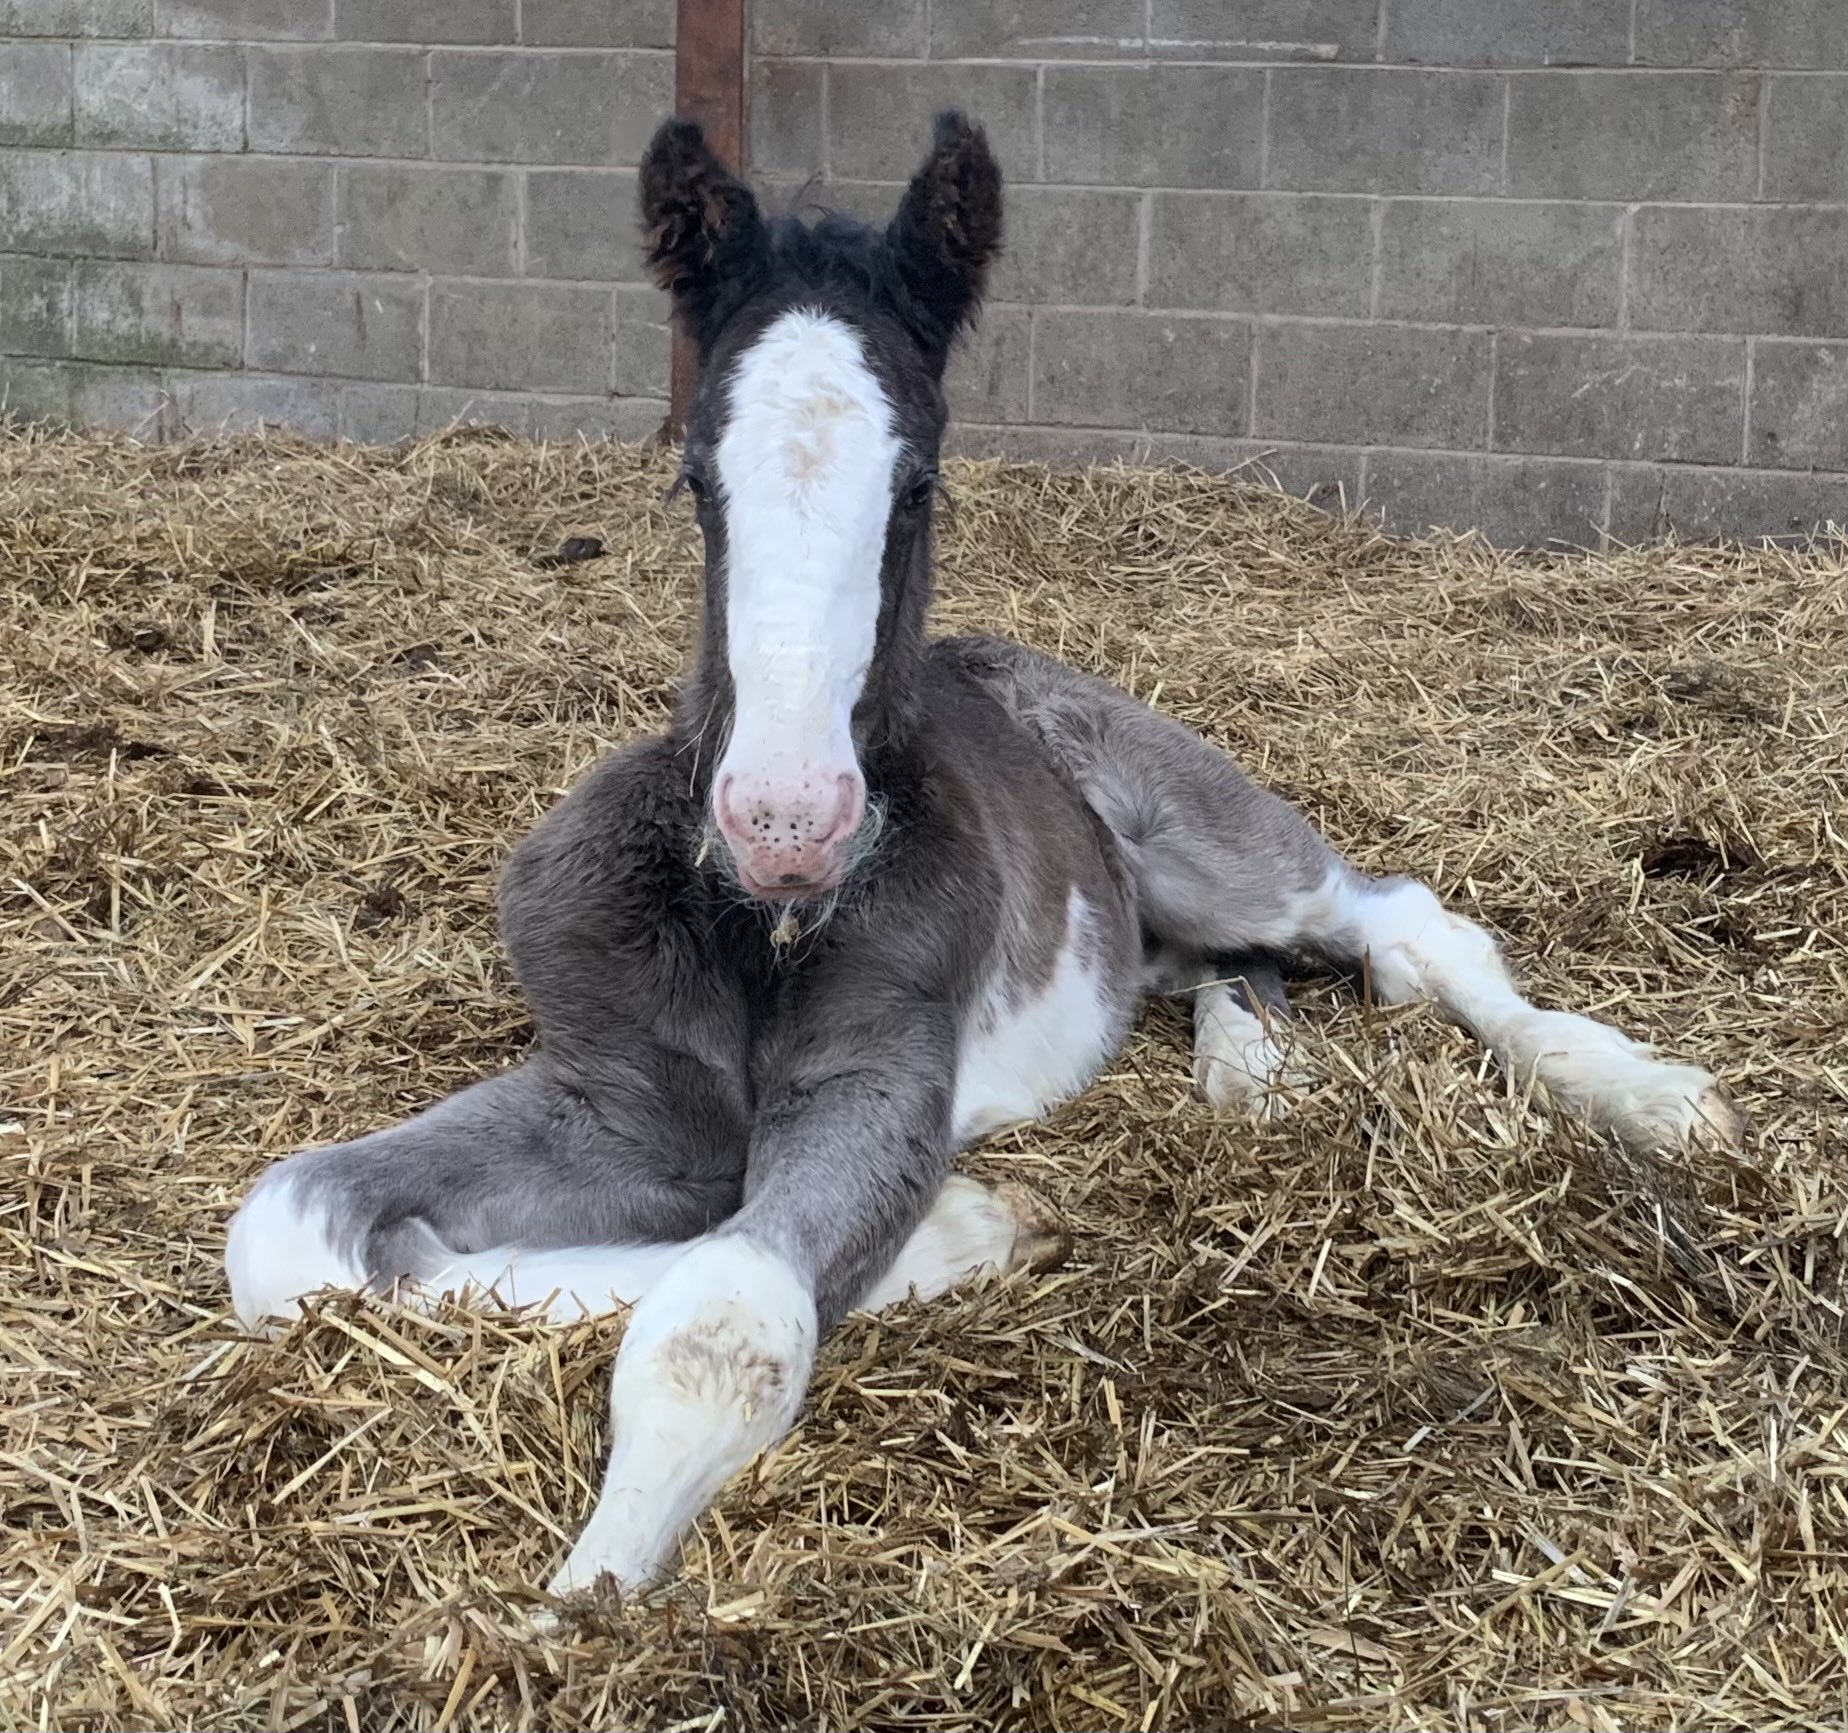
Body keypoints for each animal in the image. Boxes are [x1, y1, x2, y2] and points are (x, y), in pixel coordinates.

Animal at [226, 111, 1744, 1600]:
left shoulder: (881, 1078)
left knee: (1398, 922)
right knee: (1221, 967)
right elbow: (290, 1225)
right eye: (694, 475)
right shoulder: (612, 1095)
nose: (787, 822)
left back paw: (1652, 1095)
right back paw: (1253, 1079)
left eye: (917, 480)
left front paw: (585, 1590)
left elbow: (722, 1309)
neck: (761, 934)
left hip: (1205, 835)